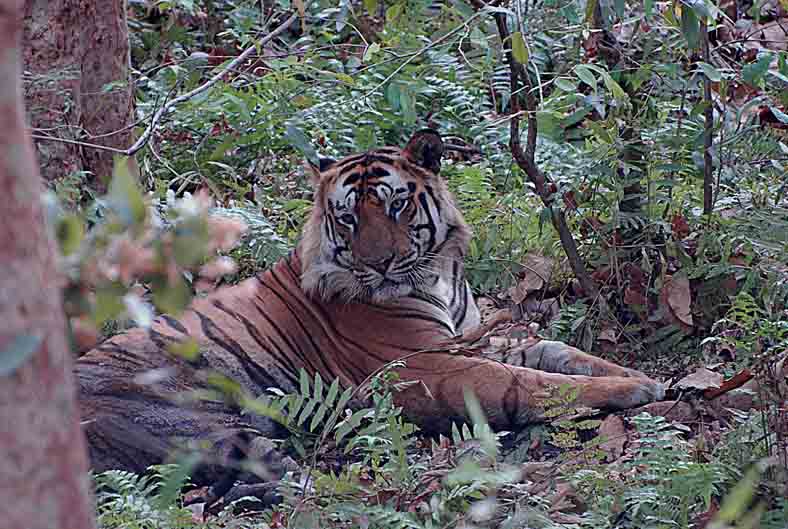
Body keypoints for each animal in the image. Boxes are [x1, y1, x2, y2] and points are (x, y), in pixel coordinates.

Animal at [76, 129, 664, 492]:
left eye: (397, 205)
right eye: (348, 218)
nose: (379, 264)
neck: (440, 274)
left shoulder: (471, 338)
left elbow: (559, 352)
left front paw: (639, 375)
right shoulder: (421, 367)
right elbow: (527, 383)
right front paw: (627, 391)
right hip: (178, 414)